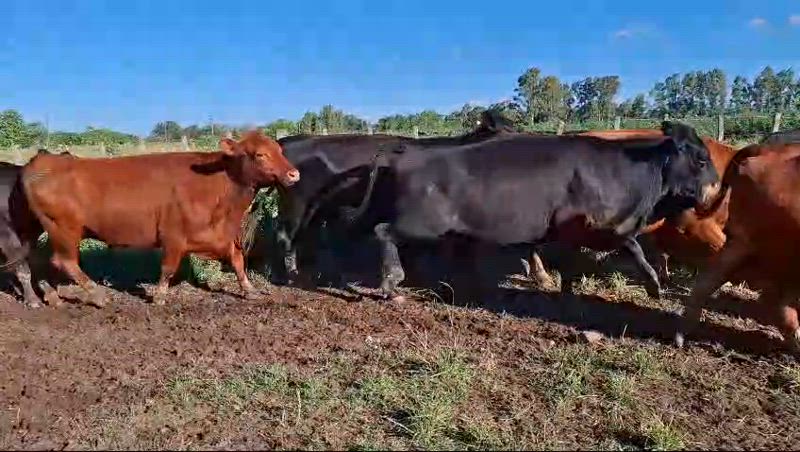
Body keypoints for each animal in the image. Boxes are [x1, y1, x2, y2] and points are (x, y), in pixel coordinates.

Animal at [19, 130, 299, 307]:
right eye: (260, 154)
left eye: (279, 150)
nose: (294, 174)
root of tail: (43, 160)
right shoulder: (173, 235)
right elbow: (168, 268)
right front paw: (160, 296)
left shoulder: (219, 236)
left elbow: (238, 260)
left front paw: (249, 290)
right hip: (64, 229)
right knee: (65, 261)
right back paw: (97, 295)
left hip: (50, 230)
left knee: (41, 260)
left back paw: (51, 295)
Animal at [354, 121, 719, 302]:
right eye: (701, 160)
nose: (716, 185)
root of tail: (406, 154)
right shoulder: (596, 228)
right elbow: (631, 247)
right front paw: (654, 284)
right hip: (421, 224)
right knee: (383, 231)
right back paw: (391, 281)